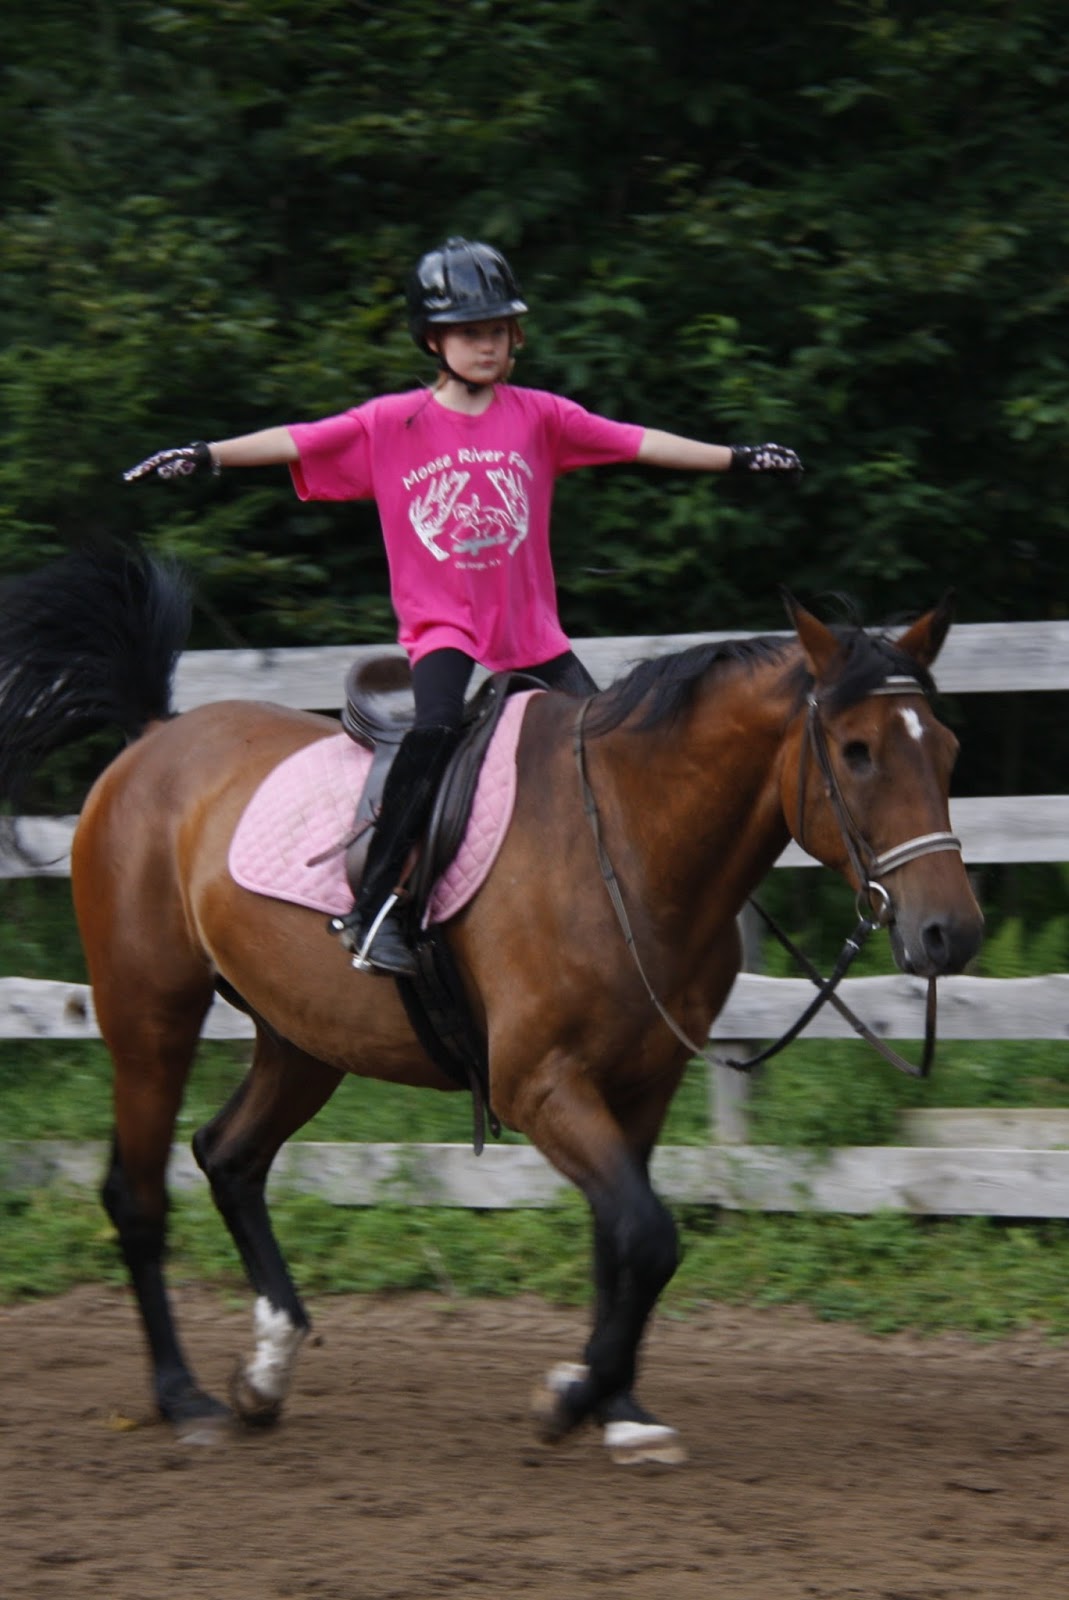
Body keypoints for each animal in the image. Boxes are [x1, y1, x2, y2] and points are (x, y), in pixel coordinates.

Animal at [0, 546, 983, 1463]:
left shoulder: (643, 1083)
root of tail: (152, 740)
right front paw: (573, 1395)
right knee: (136, 1195)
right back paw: (184, 1398)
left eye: (944, 750)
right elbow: (647, 1235)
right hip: (149, 1018)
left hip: (301, 1041)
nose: (949, 933)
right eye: (856, 752)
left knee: (229, 1157)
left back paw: (266, 1370)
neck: (626, 842)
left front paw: (619, 1407)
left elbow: (623, 1242)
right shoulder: (538, 1083)